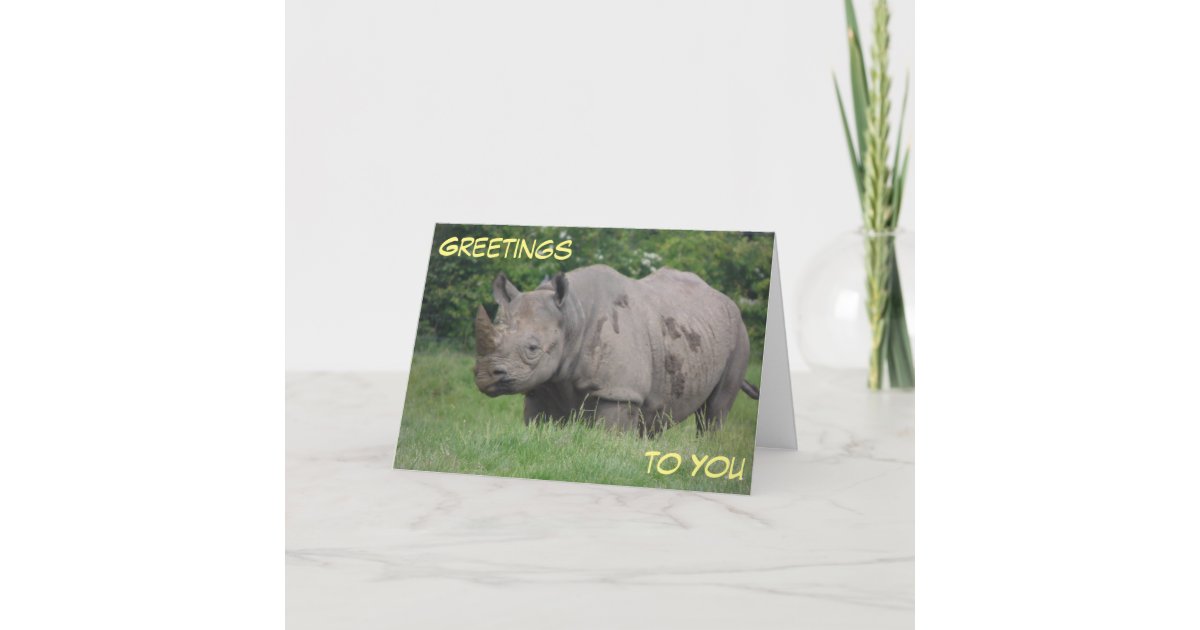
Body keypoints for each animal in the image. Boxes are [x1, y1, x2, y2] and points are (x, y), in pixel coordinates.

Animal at [473, 264, 759, 437]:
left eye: (533, 348)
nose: (485, 374)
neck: (572, 317)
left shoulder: (619, 391)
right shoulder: (543, 384)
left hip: (739, 334)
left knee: (715, 409)